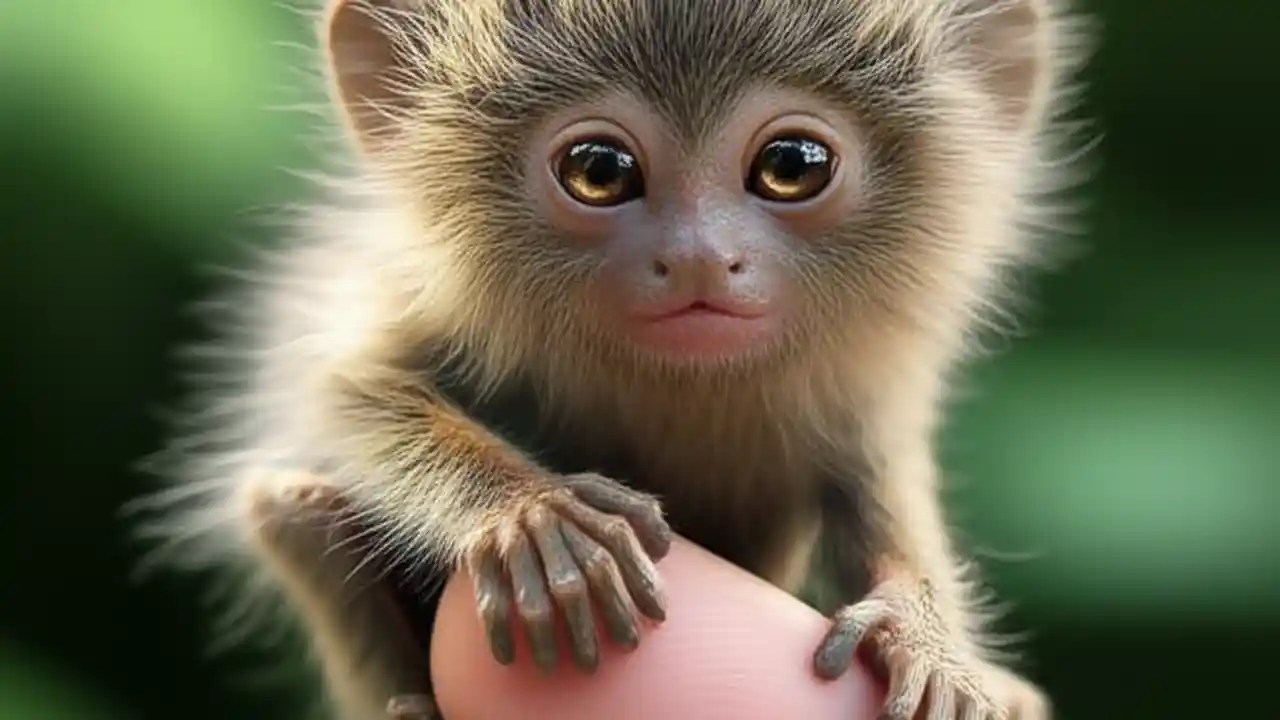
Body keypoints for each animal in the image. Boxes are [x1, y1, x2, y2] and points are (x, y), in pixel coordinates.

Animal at [133, 0, 1089, 718]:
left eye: (793, 165)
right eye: (600, 170)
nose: (700, 257)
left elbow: (881, 495)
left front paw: (930, 641)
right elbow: (339, 390)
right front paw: (534, 515)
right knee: (288, 503)